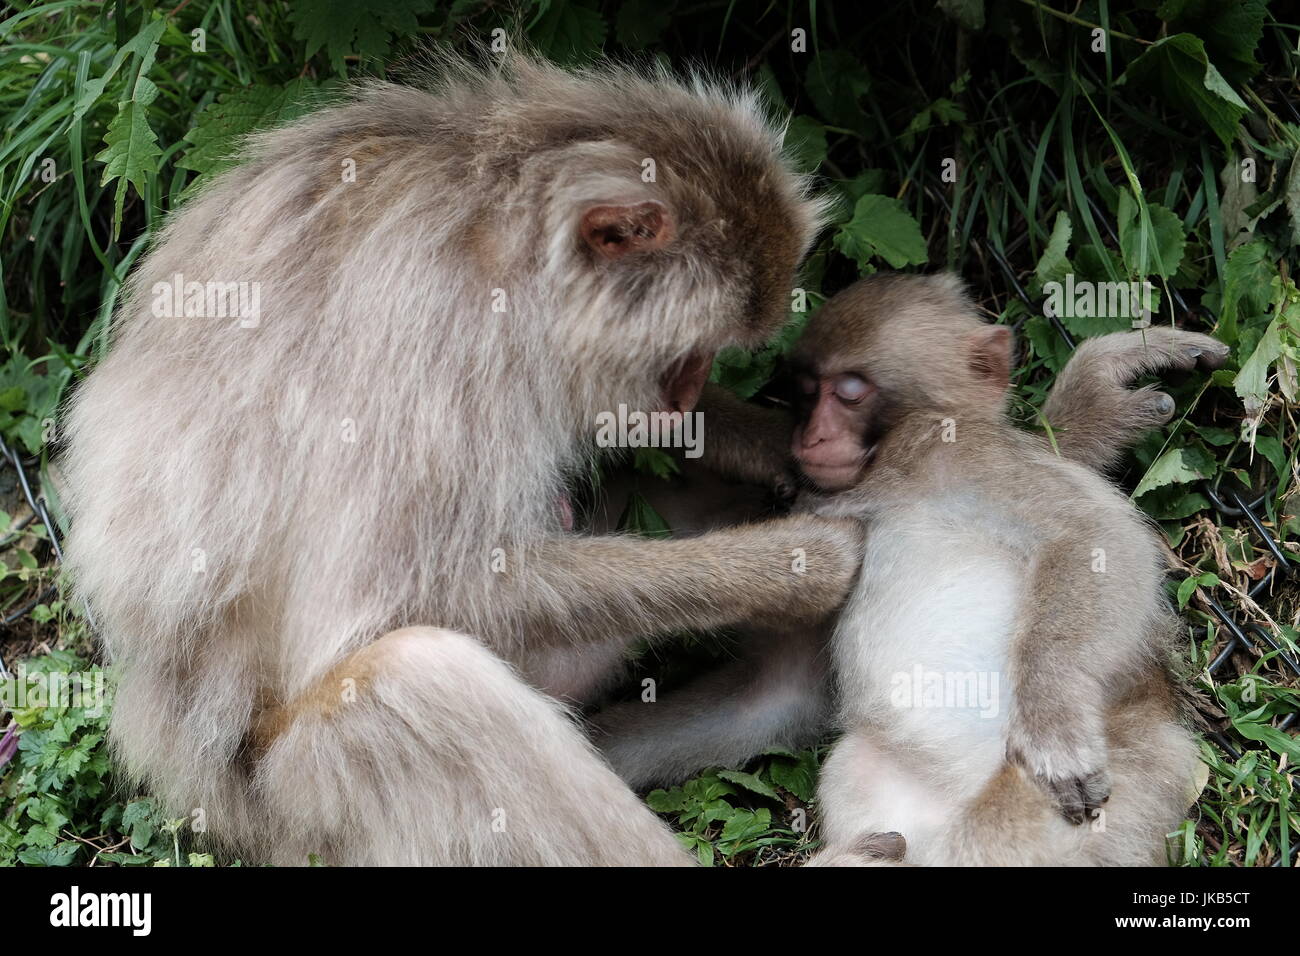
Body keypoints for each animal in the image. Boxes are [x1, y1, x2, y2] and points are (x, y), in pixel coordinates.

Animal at [59, 54, 872, 866]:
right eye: (688, 354)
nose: (684, 400)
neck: (503, 231)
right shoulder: (434, 334)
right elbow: (411, 594)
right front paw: (799, 564)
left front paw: (773, 446)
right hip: (298, 799)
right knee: (420, 677)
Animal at [777, 273, 1213, 865]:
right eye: (804, 392)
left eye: (849, 392)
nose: (809, 438)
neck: (894, 477)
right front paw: (1095, 394)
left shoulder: (968, 454)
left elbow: (1097, 536)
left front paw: (1053, 730)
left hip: (1124, 790)